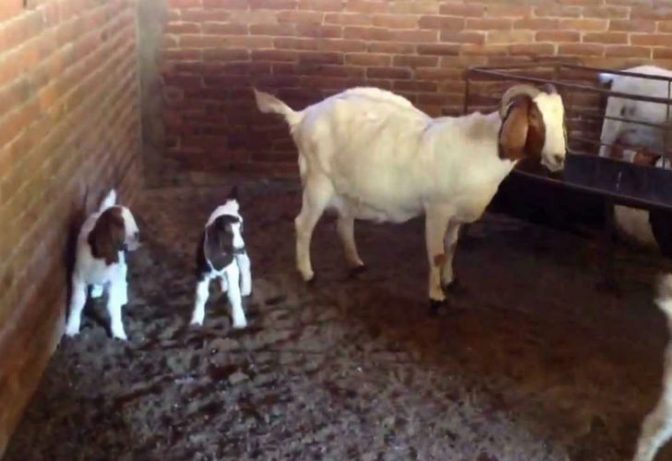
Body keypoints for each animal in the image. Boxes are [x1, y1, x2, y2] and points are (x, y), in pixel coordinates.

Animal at [254, 84, 567, 312]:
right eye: (535, 117)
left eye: (562, 119)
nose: (558, 158)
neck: (480, 148)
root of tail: (301, 115)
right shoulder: (438, 208)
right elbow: (437, 254)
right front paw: (436, 296)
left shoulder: (456, 214)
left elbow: (452, 246)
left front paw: (449, 280)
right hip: (318, 181)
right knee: (303, 225)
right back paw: (307, 272)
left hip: (348, 188)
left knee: (344, 224)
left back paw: (355, 262)